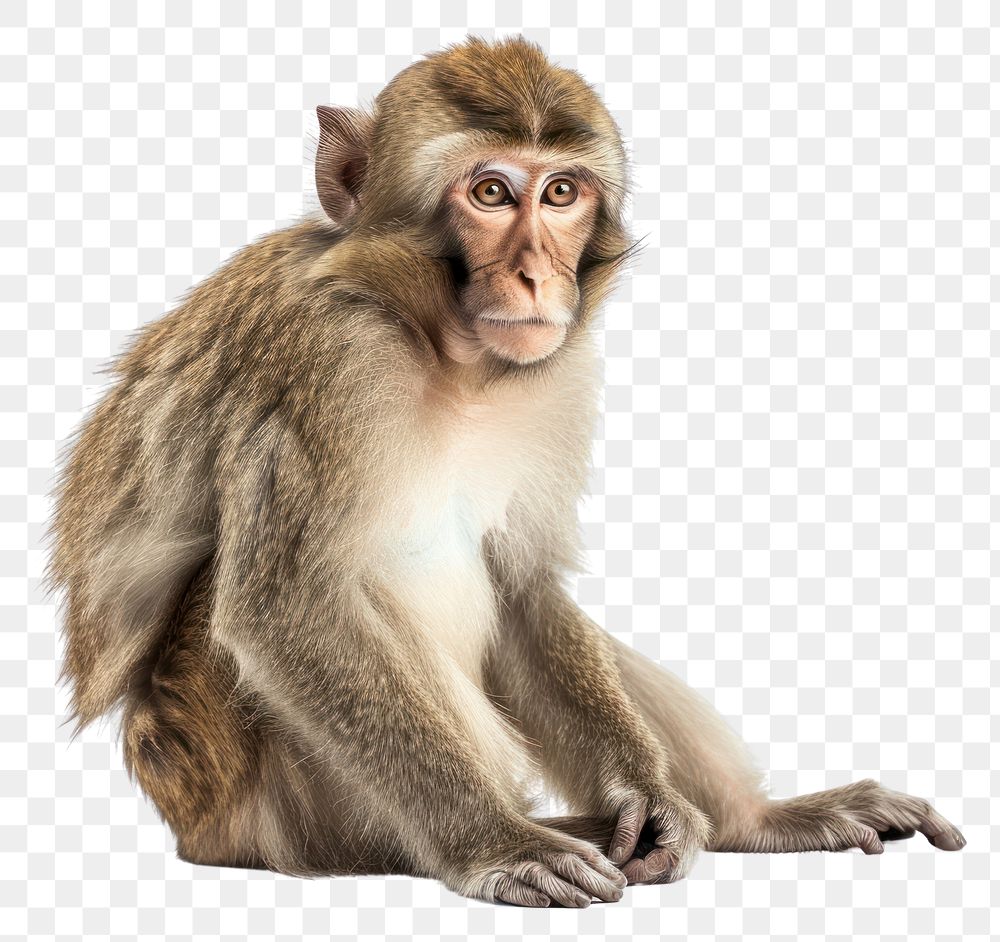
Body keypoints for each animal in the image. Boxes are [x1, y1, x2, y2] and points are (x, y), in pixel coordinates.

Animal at [48, 37, 965, 908]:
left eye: (560, 193)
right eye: (489, 192)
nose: (534, 274)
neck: (448, 361)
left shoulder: (559, 376)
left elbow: (522, 581)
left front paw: (650, 800)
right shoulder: (329, 355)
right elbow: (287, 607)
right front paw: (498, 843)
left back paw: (747, 820)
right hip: (250, 792)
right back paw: (515, 831)